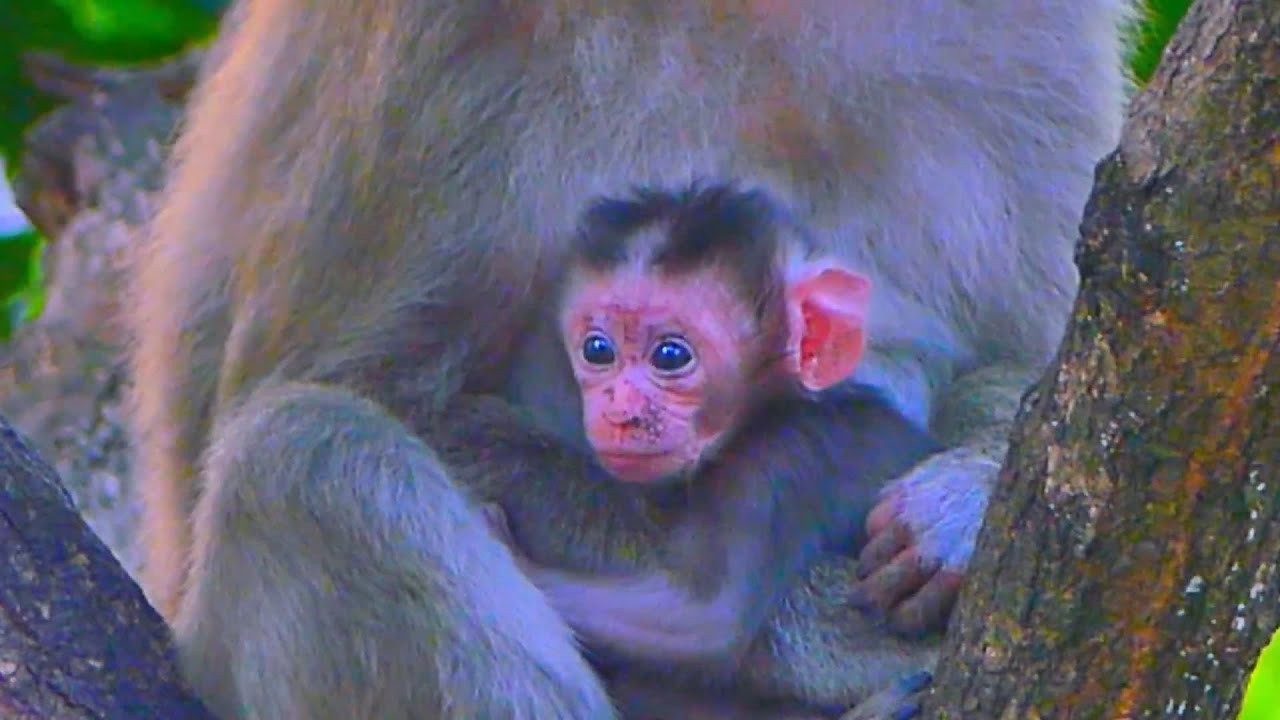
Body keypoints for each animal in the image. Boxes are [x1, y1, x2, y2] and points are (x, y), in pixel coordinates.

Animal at [476, 181, 945, 719]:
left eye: (670, 355)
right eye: (597, 350)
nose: (619, 412)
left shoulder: (783, 463)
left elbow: (703, 621)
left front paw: (506, 548)